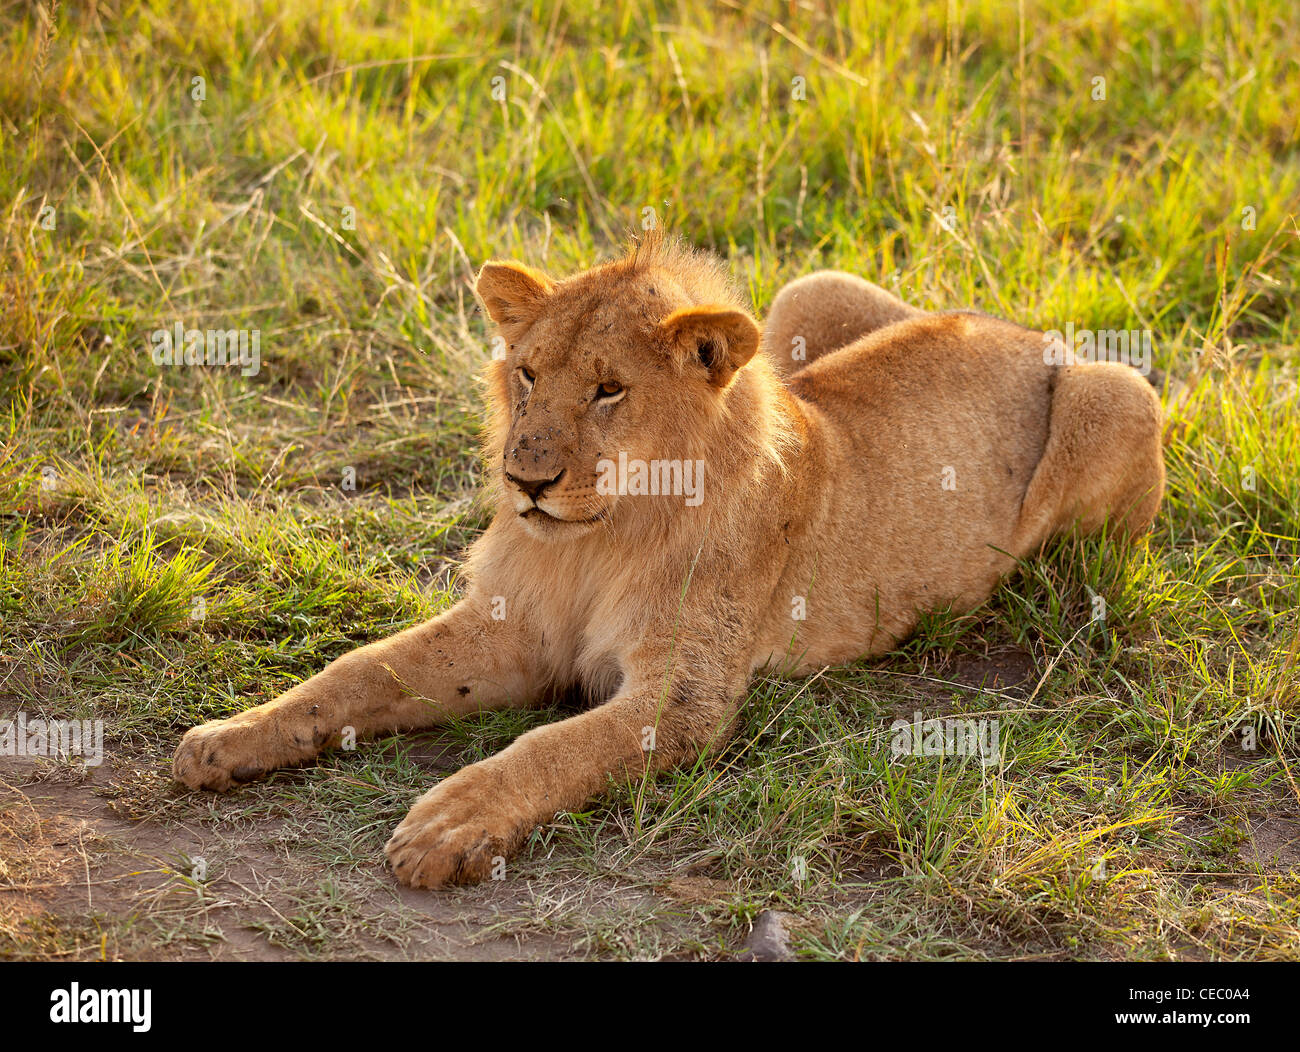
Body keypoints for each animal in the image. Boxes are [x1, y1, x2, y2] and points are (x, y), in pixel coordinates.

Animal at [173, 234, 1165, 888]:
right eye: (528, 373)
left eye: (609, 390)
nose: (525, 478)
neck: (598, 539)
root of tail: (1022, 330)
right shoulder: (515, 632)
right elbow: (359, 670)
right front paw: (229, 737)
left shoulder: (682, 697)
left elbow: (552, 747)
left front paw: (450, 822)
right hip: (810, 294)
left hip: (1117, 392)